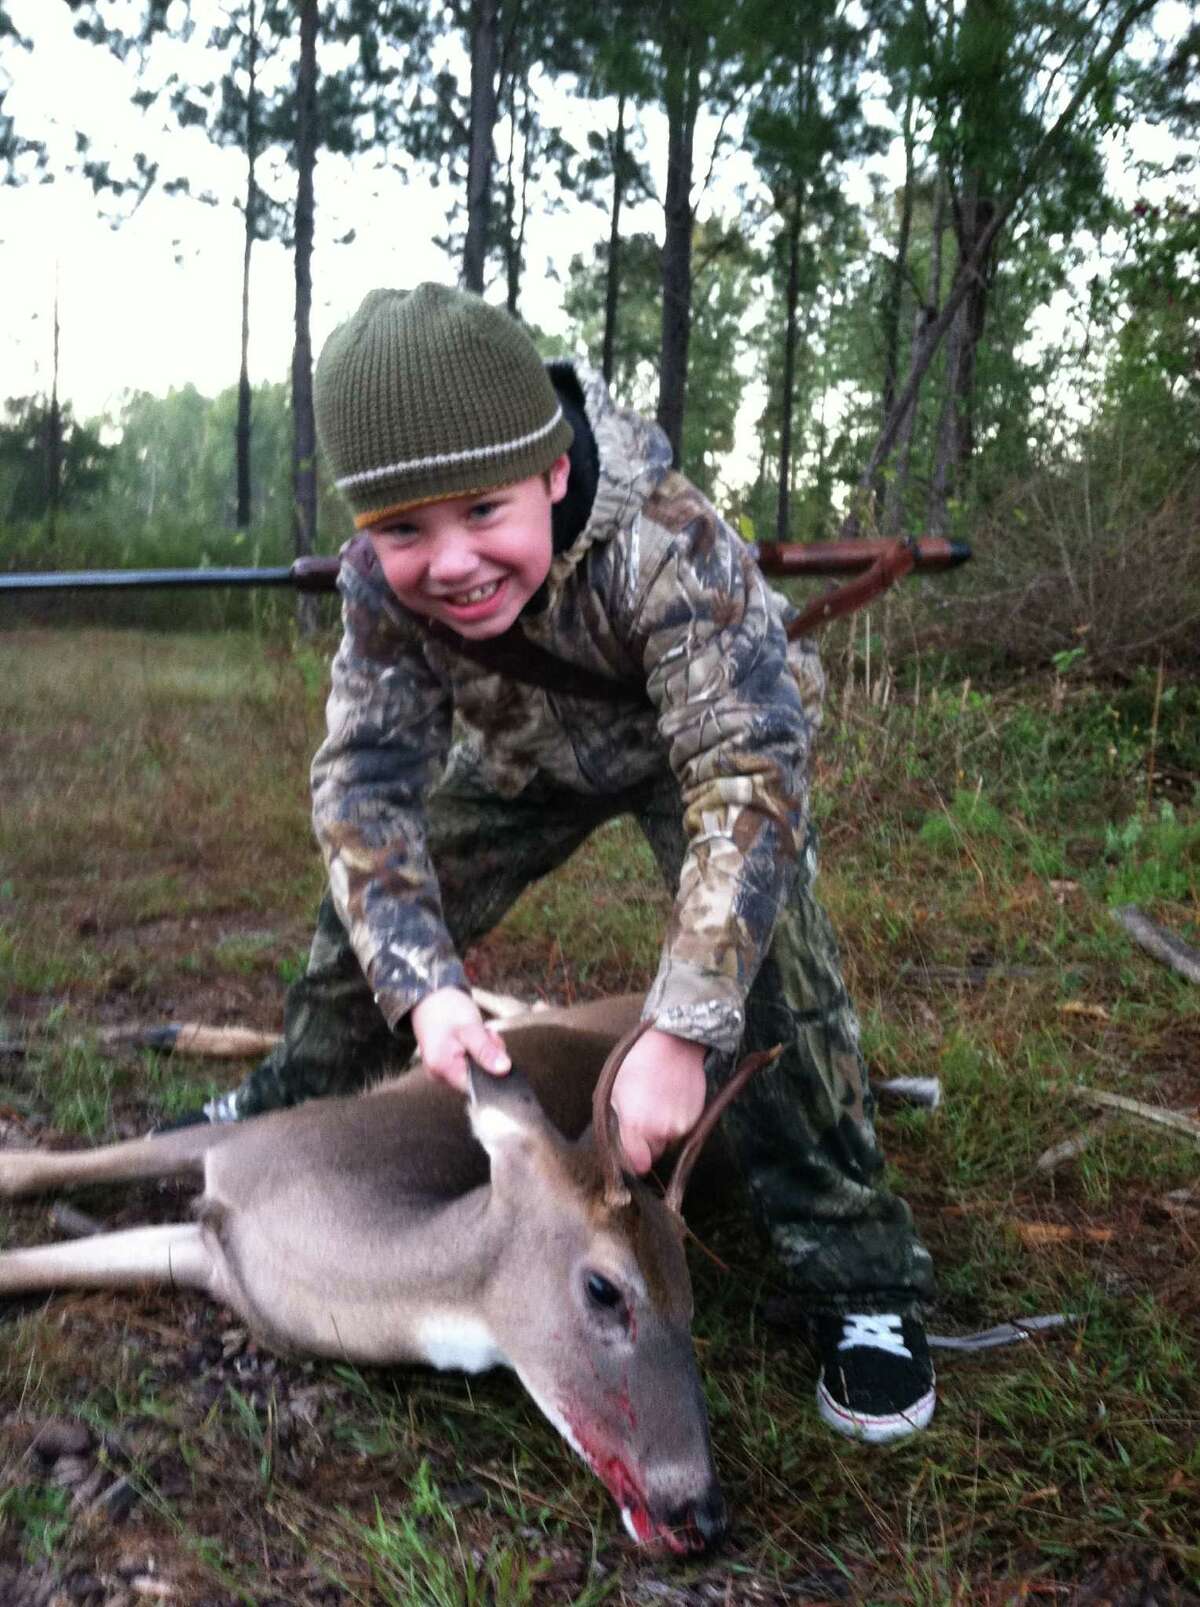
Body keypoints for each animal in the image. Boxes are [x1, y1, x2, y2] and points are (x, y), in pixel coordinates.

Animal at [0, 1001, 777, 1555]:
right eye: (604, 1288)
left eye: (691, 1306)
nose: (703, 1513)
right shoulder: (240, 1149)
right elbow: (40, 1171)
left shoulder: (214, 1253)